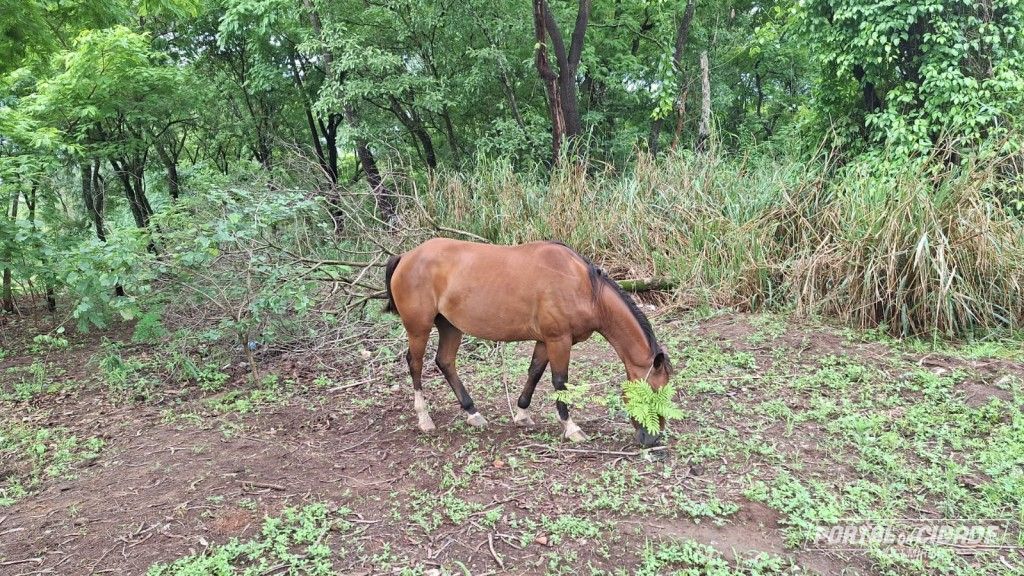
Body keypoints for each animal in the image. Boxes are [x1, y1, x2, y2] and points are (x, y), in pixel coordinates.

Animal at [383, 238, 673, 447]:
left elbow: (534, 373)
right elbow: (559, 382)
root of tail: (406, 257)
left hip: (450, 326)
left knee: (445, 361)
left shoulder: (546, 341)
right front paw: (571, 428)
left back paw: (472, 413)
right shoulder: (559, 340)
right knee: (415, 364)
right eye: (653, 391)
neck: (585, 290)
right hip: (419, 328)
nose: (652, 438)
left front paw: (522, 414)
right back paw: (424, 418)